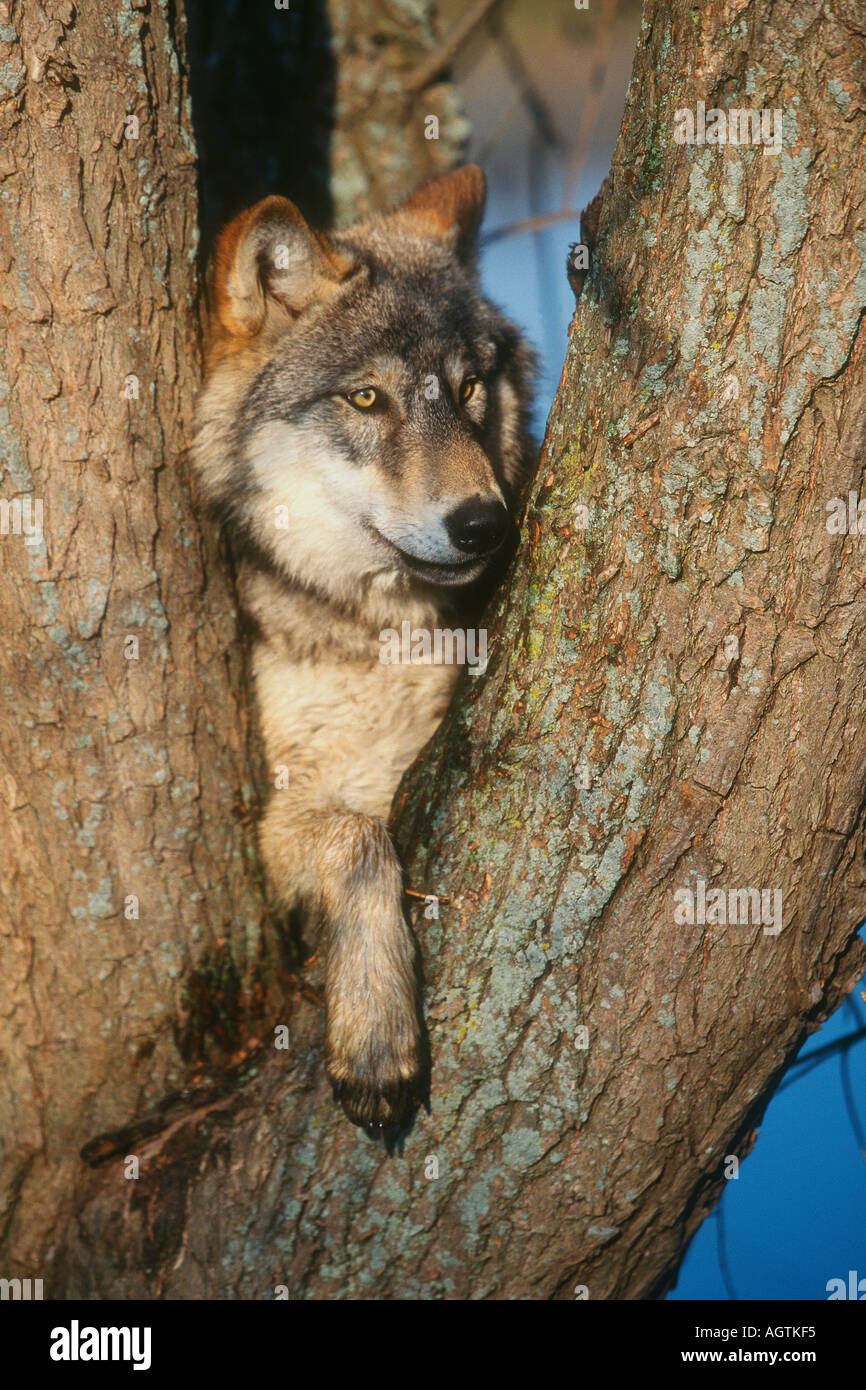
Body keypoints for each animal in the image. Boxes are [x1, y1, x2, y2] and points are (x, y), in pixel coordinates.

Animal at [192, 165, 535, 1129]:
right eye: (368, 398)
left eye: (469, 389)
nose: (483, 525)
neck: (376, 638)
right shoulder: (275, 828)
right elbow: (358, 839)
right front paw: (378, 1037)